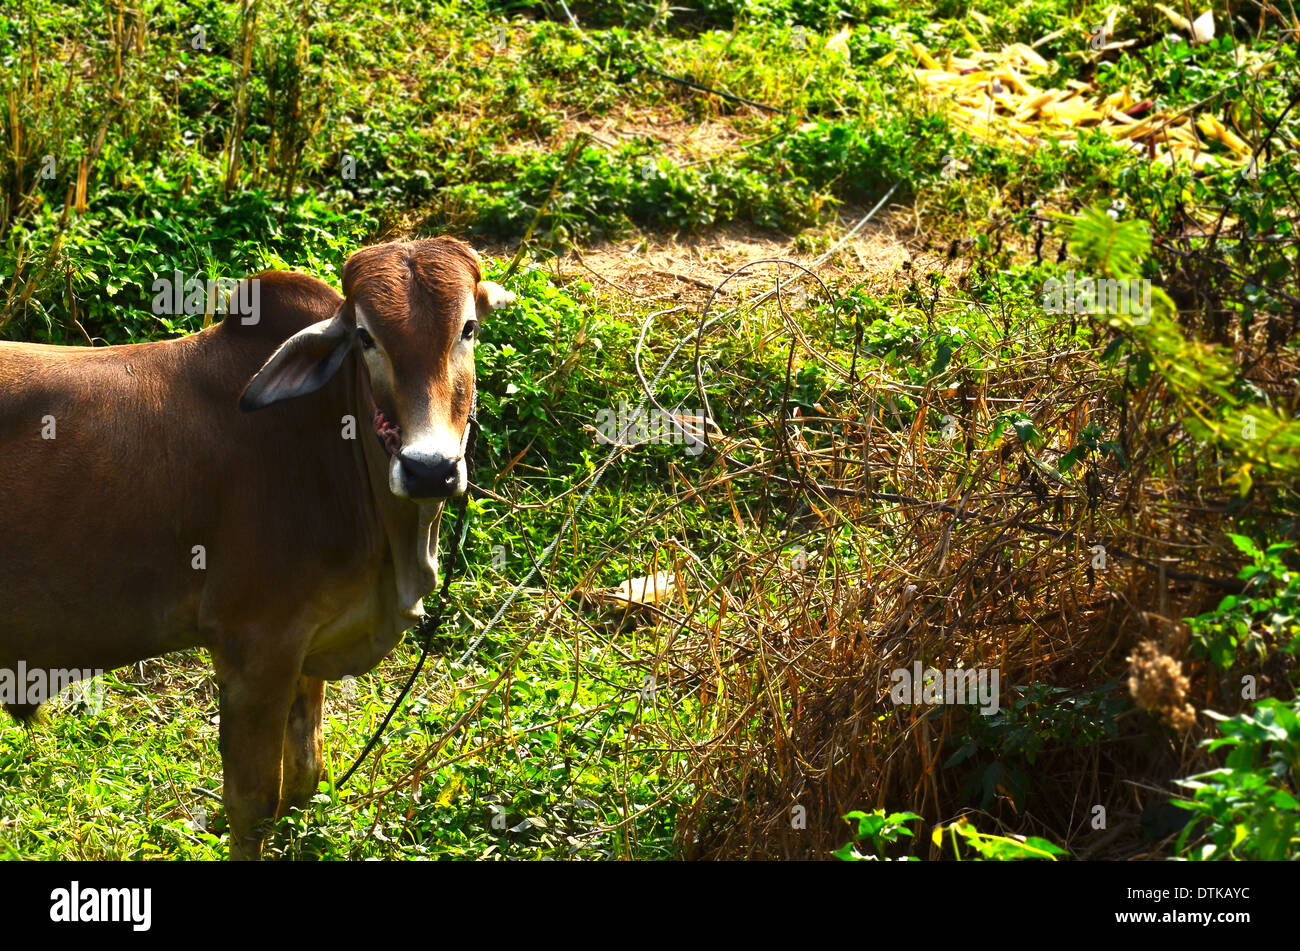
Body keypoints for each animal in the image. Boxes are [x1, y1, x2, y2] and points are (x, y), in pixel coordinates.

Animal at [0, 236, 515, 859]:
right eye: (366, 337)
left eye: (468, 328)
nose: (429, 468)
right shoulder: (256, 647)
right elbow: (254, 806)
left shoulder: (308, 647)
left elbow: (307, 775)